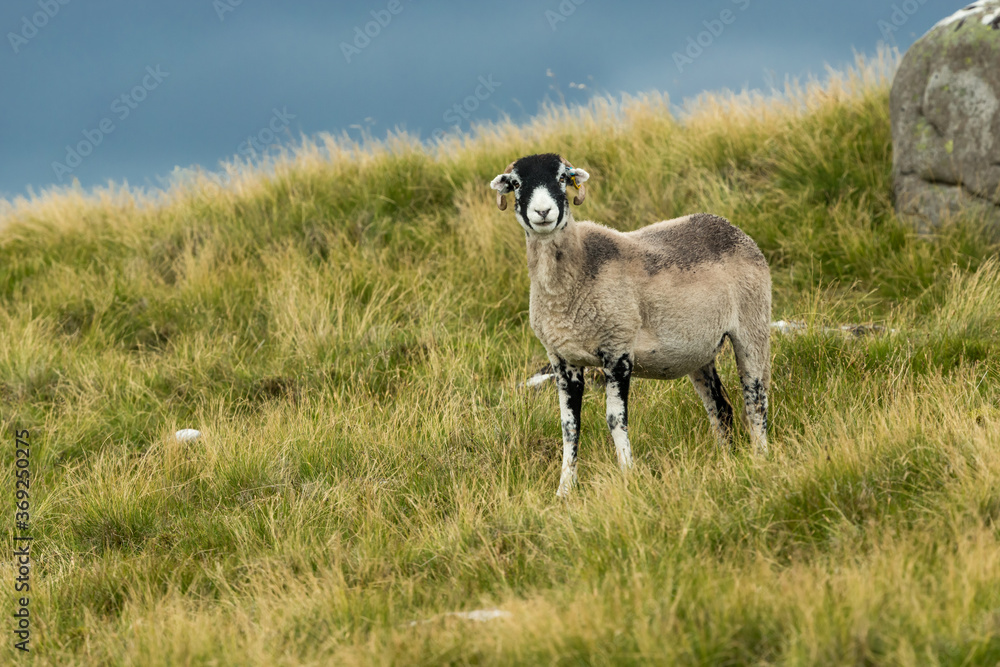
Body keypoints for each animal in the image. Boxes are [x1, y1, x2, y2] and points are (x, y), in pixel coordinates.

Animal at [490, 153, 771, 496]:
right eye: (516, 183)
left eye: (561, 178)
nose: (543, 212)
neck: (577, 267)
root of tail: (729, 227)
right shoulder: (562, 360)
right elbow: (569, 426)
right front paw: (564, 490)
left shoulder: (618, 350)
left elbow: (615, 419)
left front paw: (628, 476)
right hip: (699, 352)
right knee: (720, 408)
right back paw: (726, 460)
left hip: (752, 325)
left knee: (755, 398)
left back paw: (761, 457)